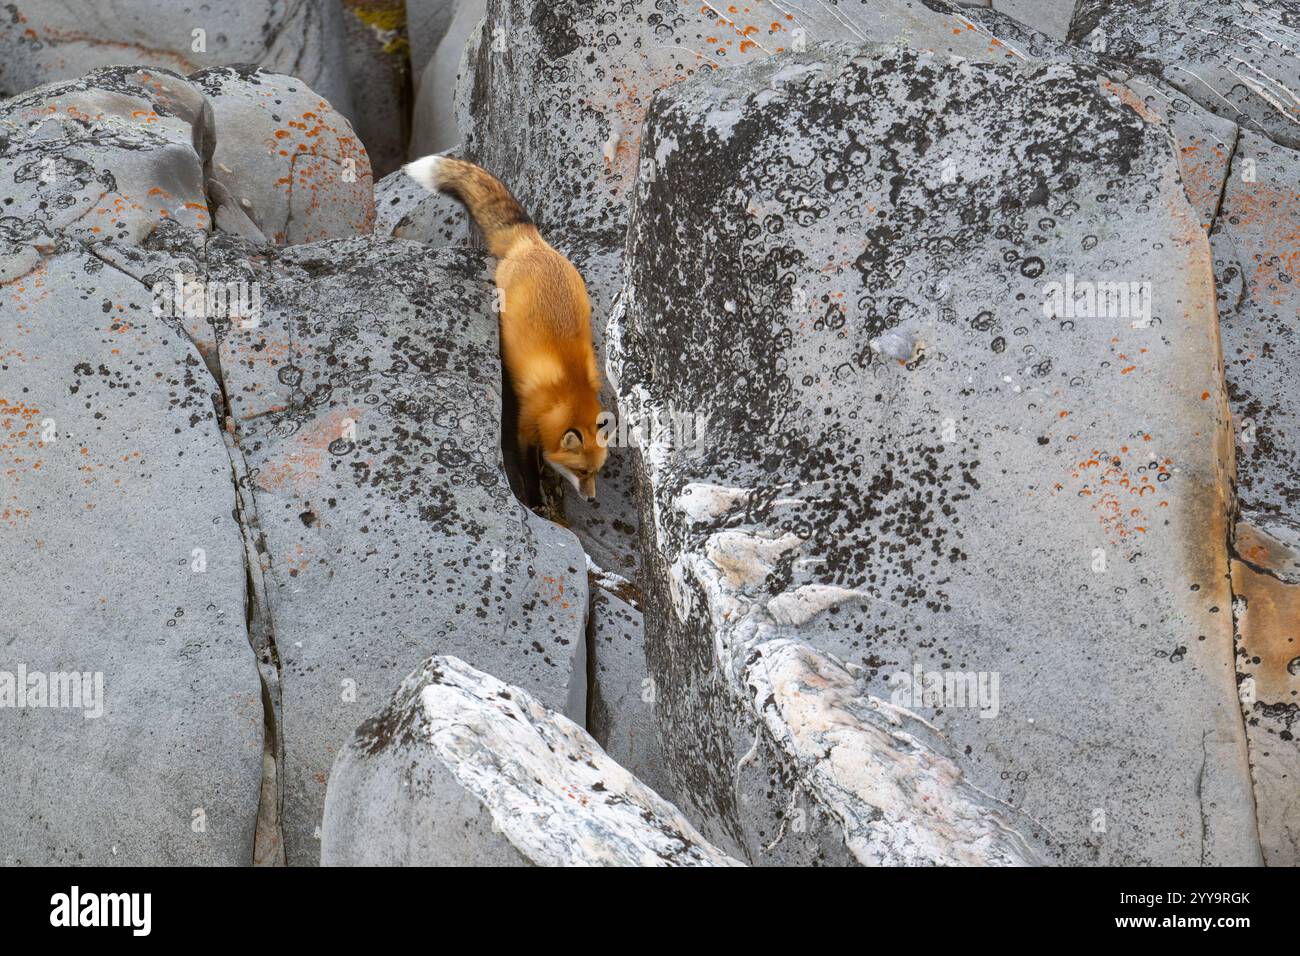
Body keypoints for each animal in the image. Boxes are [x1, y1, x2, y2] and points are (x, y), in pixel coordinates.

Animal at [403, 155, 607, 500]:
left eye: (597, 472)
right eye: (581, 471)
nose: (592, 498)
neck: (567, 388)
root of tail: (531, 240)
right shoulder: (524, 426)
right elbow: (528, 471)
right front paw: (536, 500)